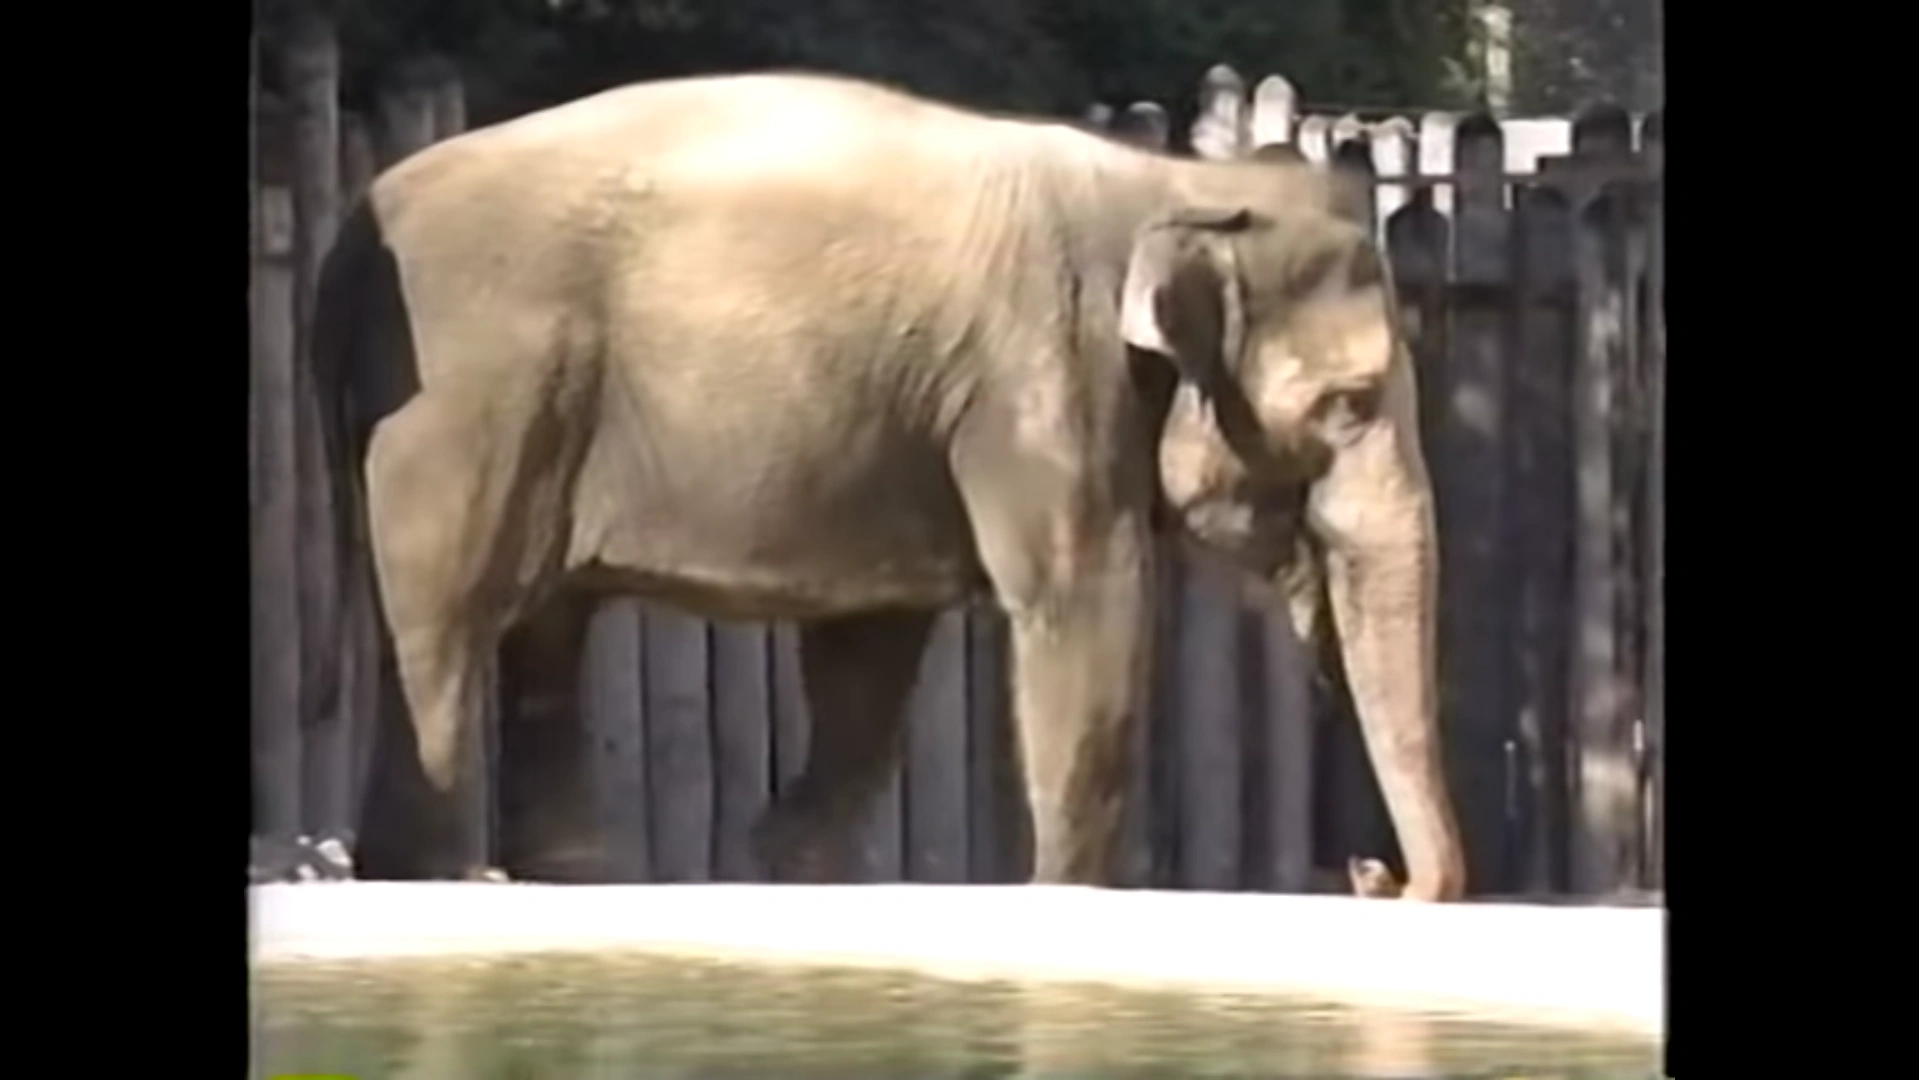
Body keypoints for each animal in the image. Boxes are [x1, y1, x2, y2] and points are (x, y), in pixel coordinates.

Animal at [306, 70, 1468, 900]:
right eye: (1350, 404)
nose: (1371, 874)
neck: (1172, 187)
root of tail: (352, 231)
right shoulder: (1042, 377)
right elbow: (1083, 605)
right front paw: (1066, 895)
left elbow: (871, 649)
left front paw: (789, 867)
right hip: (470, 394)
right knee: (447, 614)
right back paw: (444, 876)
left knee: (545, 631)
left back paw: (570, 876)